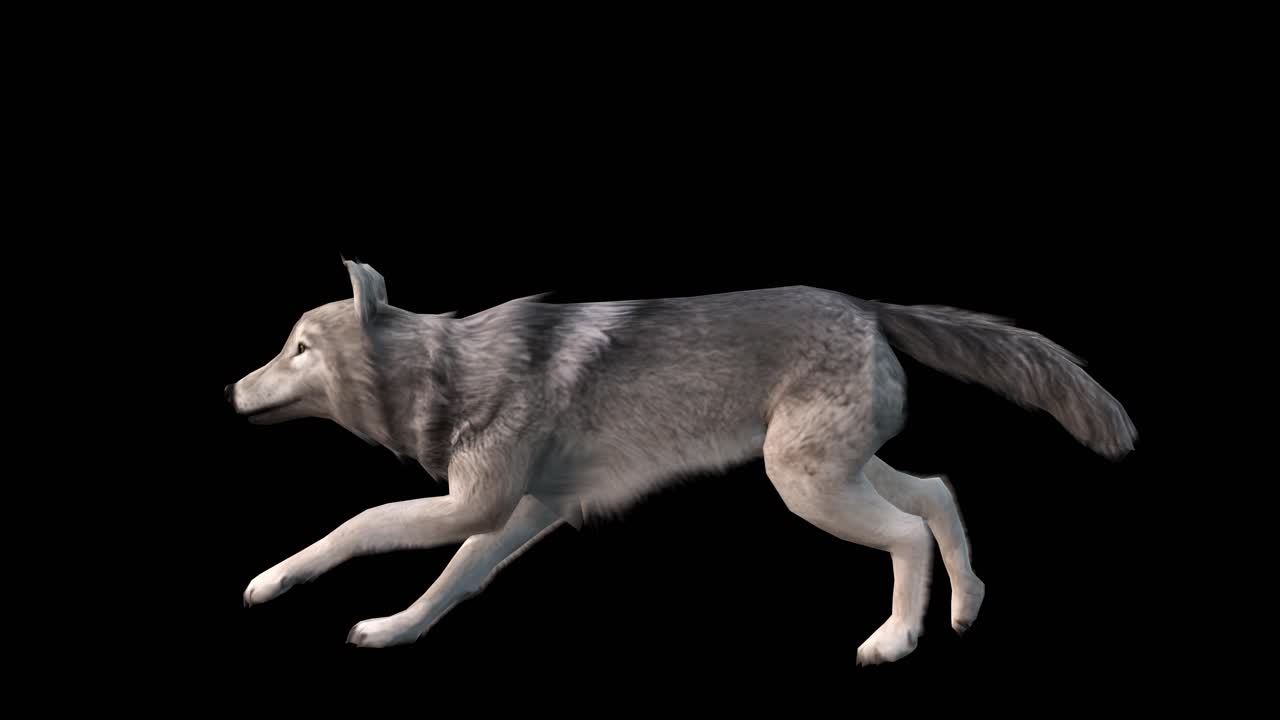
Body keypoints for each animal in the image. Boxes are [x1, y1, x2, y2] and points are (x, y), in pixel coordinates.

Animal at [227, 260, 1135, 664]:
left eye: (298, 347)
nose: (231, 389)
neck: (444, 369)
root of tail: (868, 305)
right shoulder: (526, 512)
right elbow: (453, 583)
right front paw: (395, 629)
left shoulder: (475, 506)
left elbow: (358, 524)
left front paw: (270, 580)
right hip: (830, 471)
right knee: (940, 492)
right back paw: (966, 607)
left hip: (805, 486)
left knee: (910, 530)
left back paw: (896, 639)